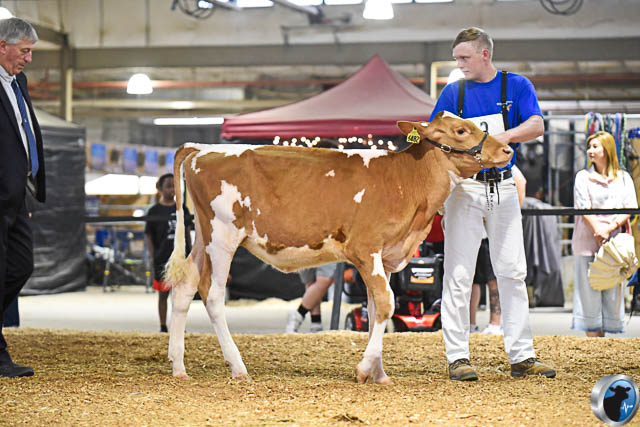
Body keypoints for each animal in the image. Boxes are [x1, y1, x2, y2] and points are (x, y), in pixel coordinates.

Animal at [164, 112, 513, 384]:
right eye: (461, 130)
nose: (507, 149)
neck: (403, 180)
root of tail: (202, 149)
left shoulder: (385, 257)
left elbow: (373, 308)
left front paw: (380, 374)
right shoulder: (365, 249)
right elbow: (385, 303)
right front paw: (364, 369)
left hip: (203, 236)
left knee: (184, 287)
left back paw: (179, 367)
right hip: (223, 235)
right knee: (212, 295)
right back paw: (237, 367)